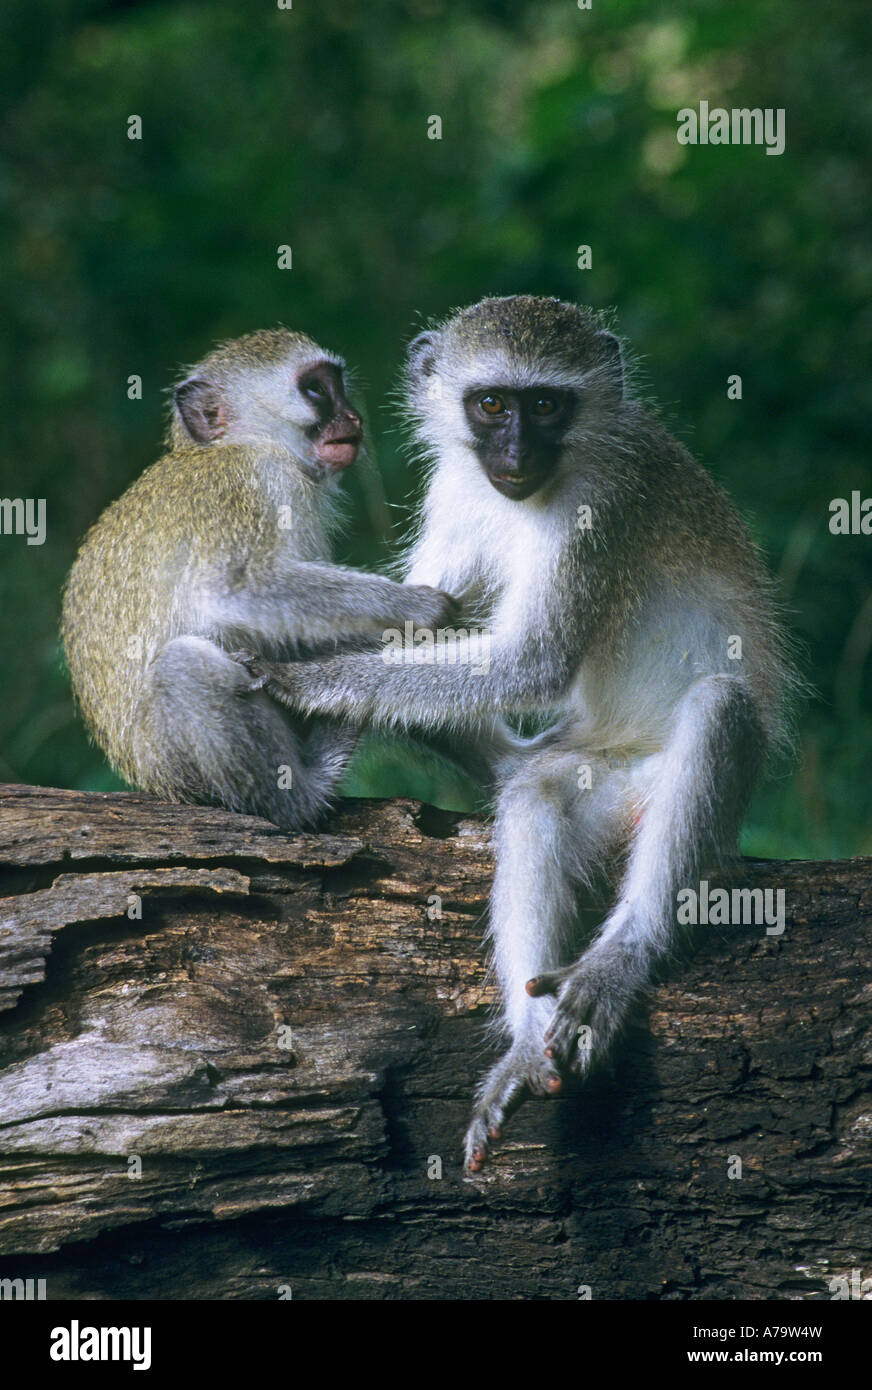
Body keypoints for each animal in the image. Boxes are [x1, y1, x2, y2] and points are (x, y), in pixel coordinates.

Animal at [61, 328, 457, 830]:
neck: (242, 442)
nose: (353, 416)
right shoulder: (251, 484)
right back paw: (302, 795)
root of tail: (154, 783)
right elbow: (229, 596)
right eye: (315, 390)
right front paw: (417, 608)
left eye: (338, 384)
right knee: (185, 665)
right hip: (175, 764)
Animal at [234, 296, 794, 1170]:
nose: (515, 451)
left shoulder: (603, 502)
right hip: (599, 778)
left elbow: (533, 659)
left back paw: (620, 957)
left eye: (547, 405)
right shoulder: (457, 489)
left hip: (666, 781)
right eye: (492, 404)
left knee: (719, 709)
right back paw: (529, 1047)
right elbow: (424, 618)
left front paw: (308, 682)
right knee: (533, 796)